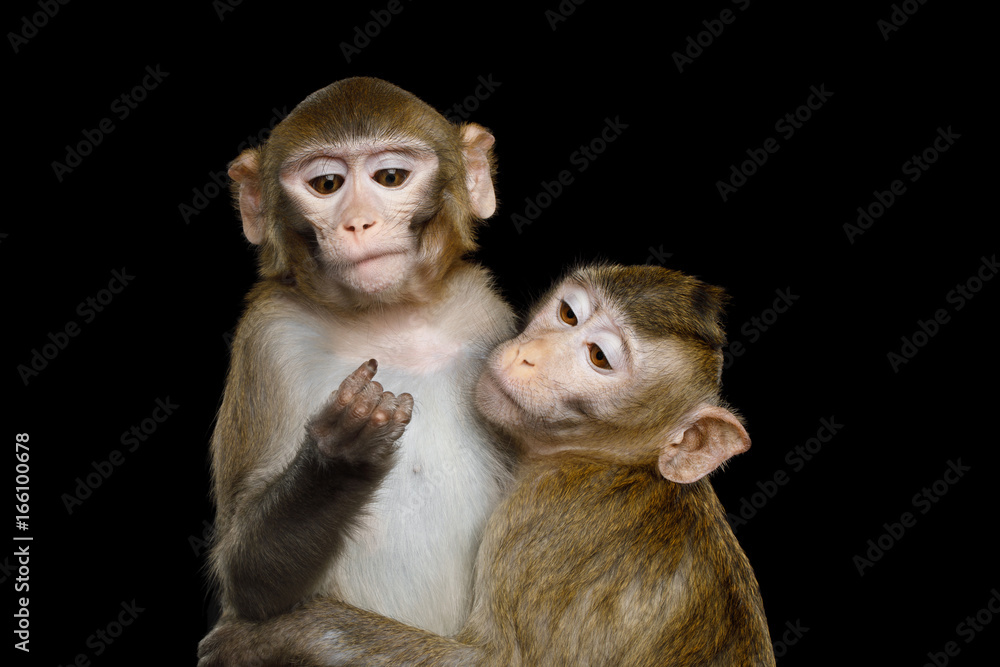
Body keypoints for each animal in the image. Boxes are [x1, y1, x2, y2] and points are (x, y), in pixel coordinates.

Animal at [198, 263, 776, 667]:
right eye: (569, 314)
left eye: (599, 358)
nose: (527, 355)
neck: (618, 460)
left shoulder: (545, 524)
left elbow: (492, 660)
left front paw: (265, 639)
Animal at [203, 76, 517, 640]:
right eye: (327, 184)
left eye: (390, 177)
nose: (357, 223)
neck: (382, 321)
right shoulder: (267, 339)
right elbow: (247, 580)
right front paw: (341, 453)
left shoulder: (484, 318)